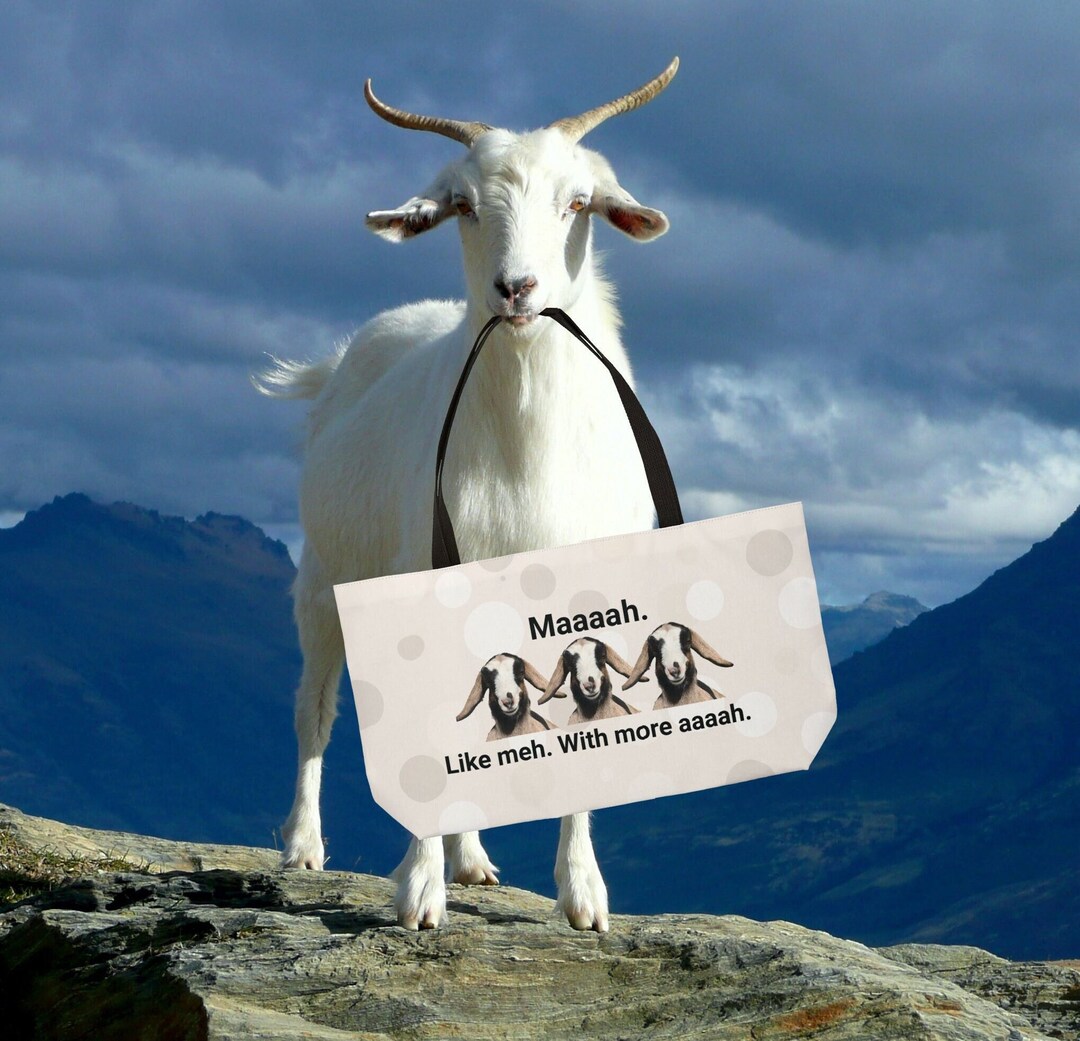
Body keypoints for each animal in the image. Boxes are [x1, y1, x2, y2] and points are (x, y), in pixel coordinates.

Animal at [256, 58, 679, 933]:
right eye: (464, 205)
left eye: (577, 202)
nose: (516, 288)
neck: (526, 451)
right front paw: (420, 892)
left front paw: (583, 895)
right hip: (324, 583)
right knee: (315, 707)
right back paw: (305, 844)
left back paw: (473, 857)